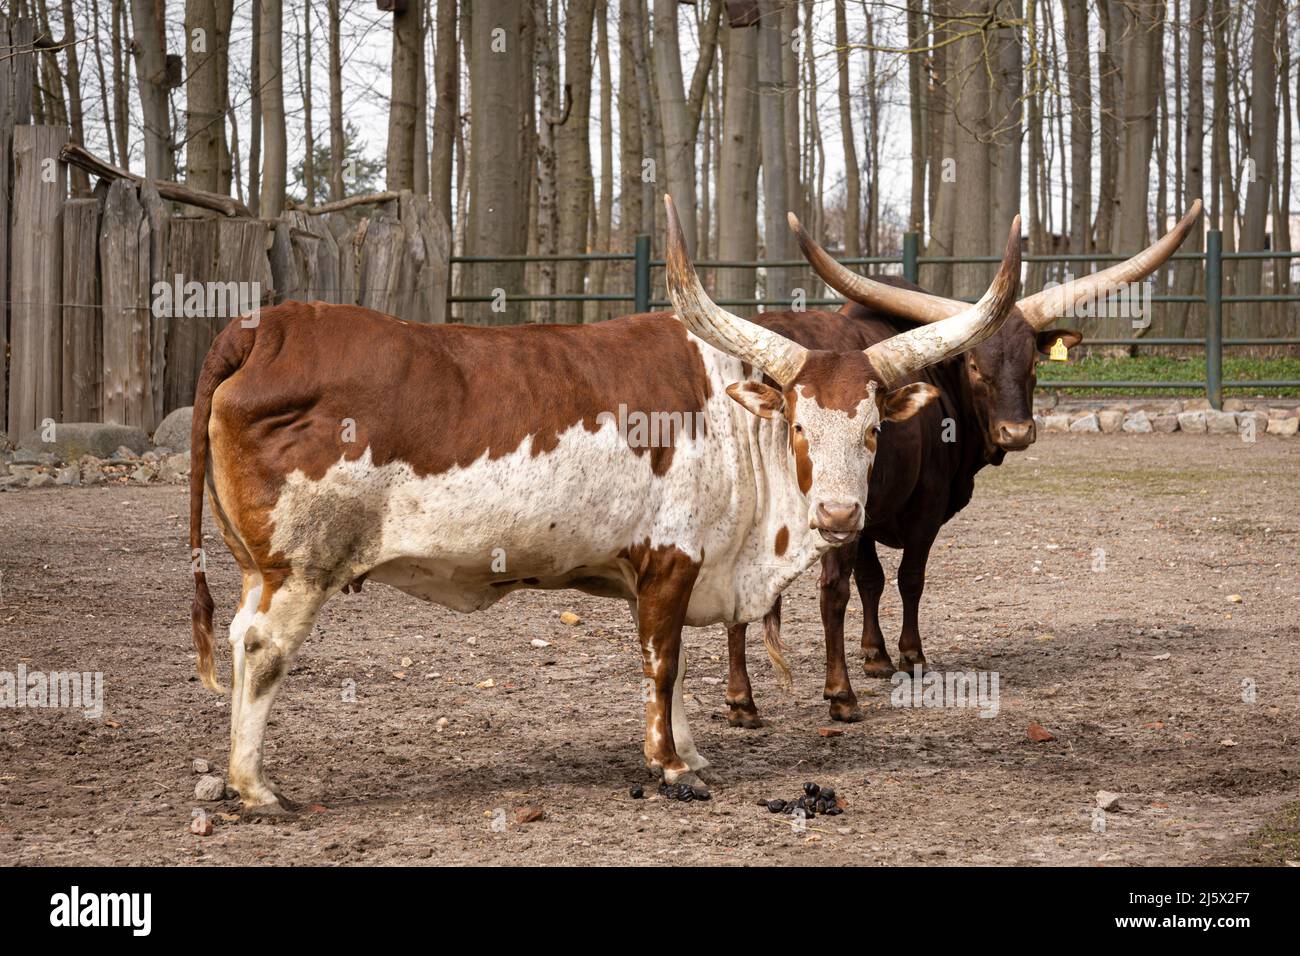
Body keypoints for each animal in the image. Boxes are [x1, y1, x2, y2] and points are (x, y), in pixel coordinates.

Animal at [187, 196, 1021, 814]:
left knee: (236, 636)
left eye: (876, 427)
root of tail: (269, 327)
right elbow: (663, 660)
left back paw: (232, 778)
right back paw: (257, 787)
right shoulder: (670, 560)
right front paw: (670, 764)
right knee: (261, 648)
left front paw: (690, 749)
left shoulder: (672, 571)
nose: (843, 517)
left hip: (256, 566)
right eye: (797, 424)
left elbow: (674, 665)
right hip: (299, 566)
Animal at [722, 202, 1204, 727]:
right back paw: (839, 696)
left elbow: (874, 580)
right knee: (832, 591)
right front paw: (910, 656)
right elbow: (908, 579)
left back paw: (742, 702)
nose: (1016, 432)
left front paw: (876, 655)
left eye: (1032, 362)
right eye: (974, 364)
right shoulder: (919, 507)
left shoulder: (868, 510)